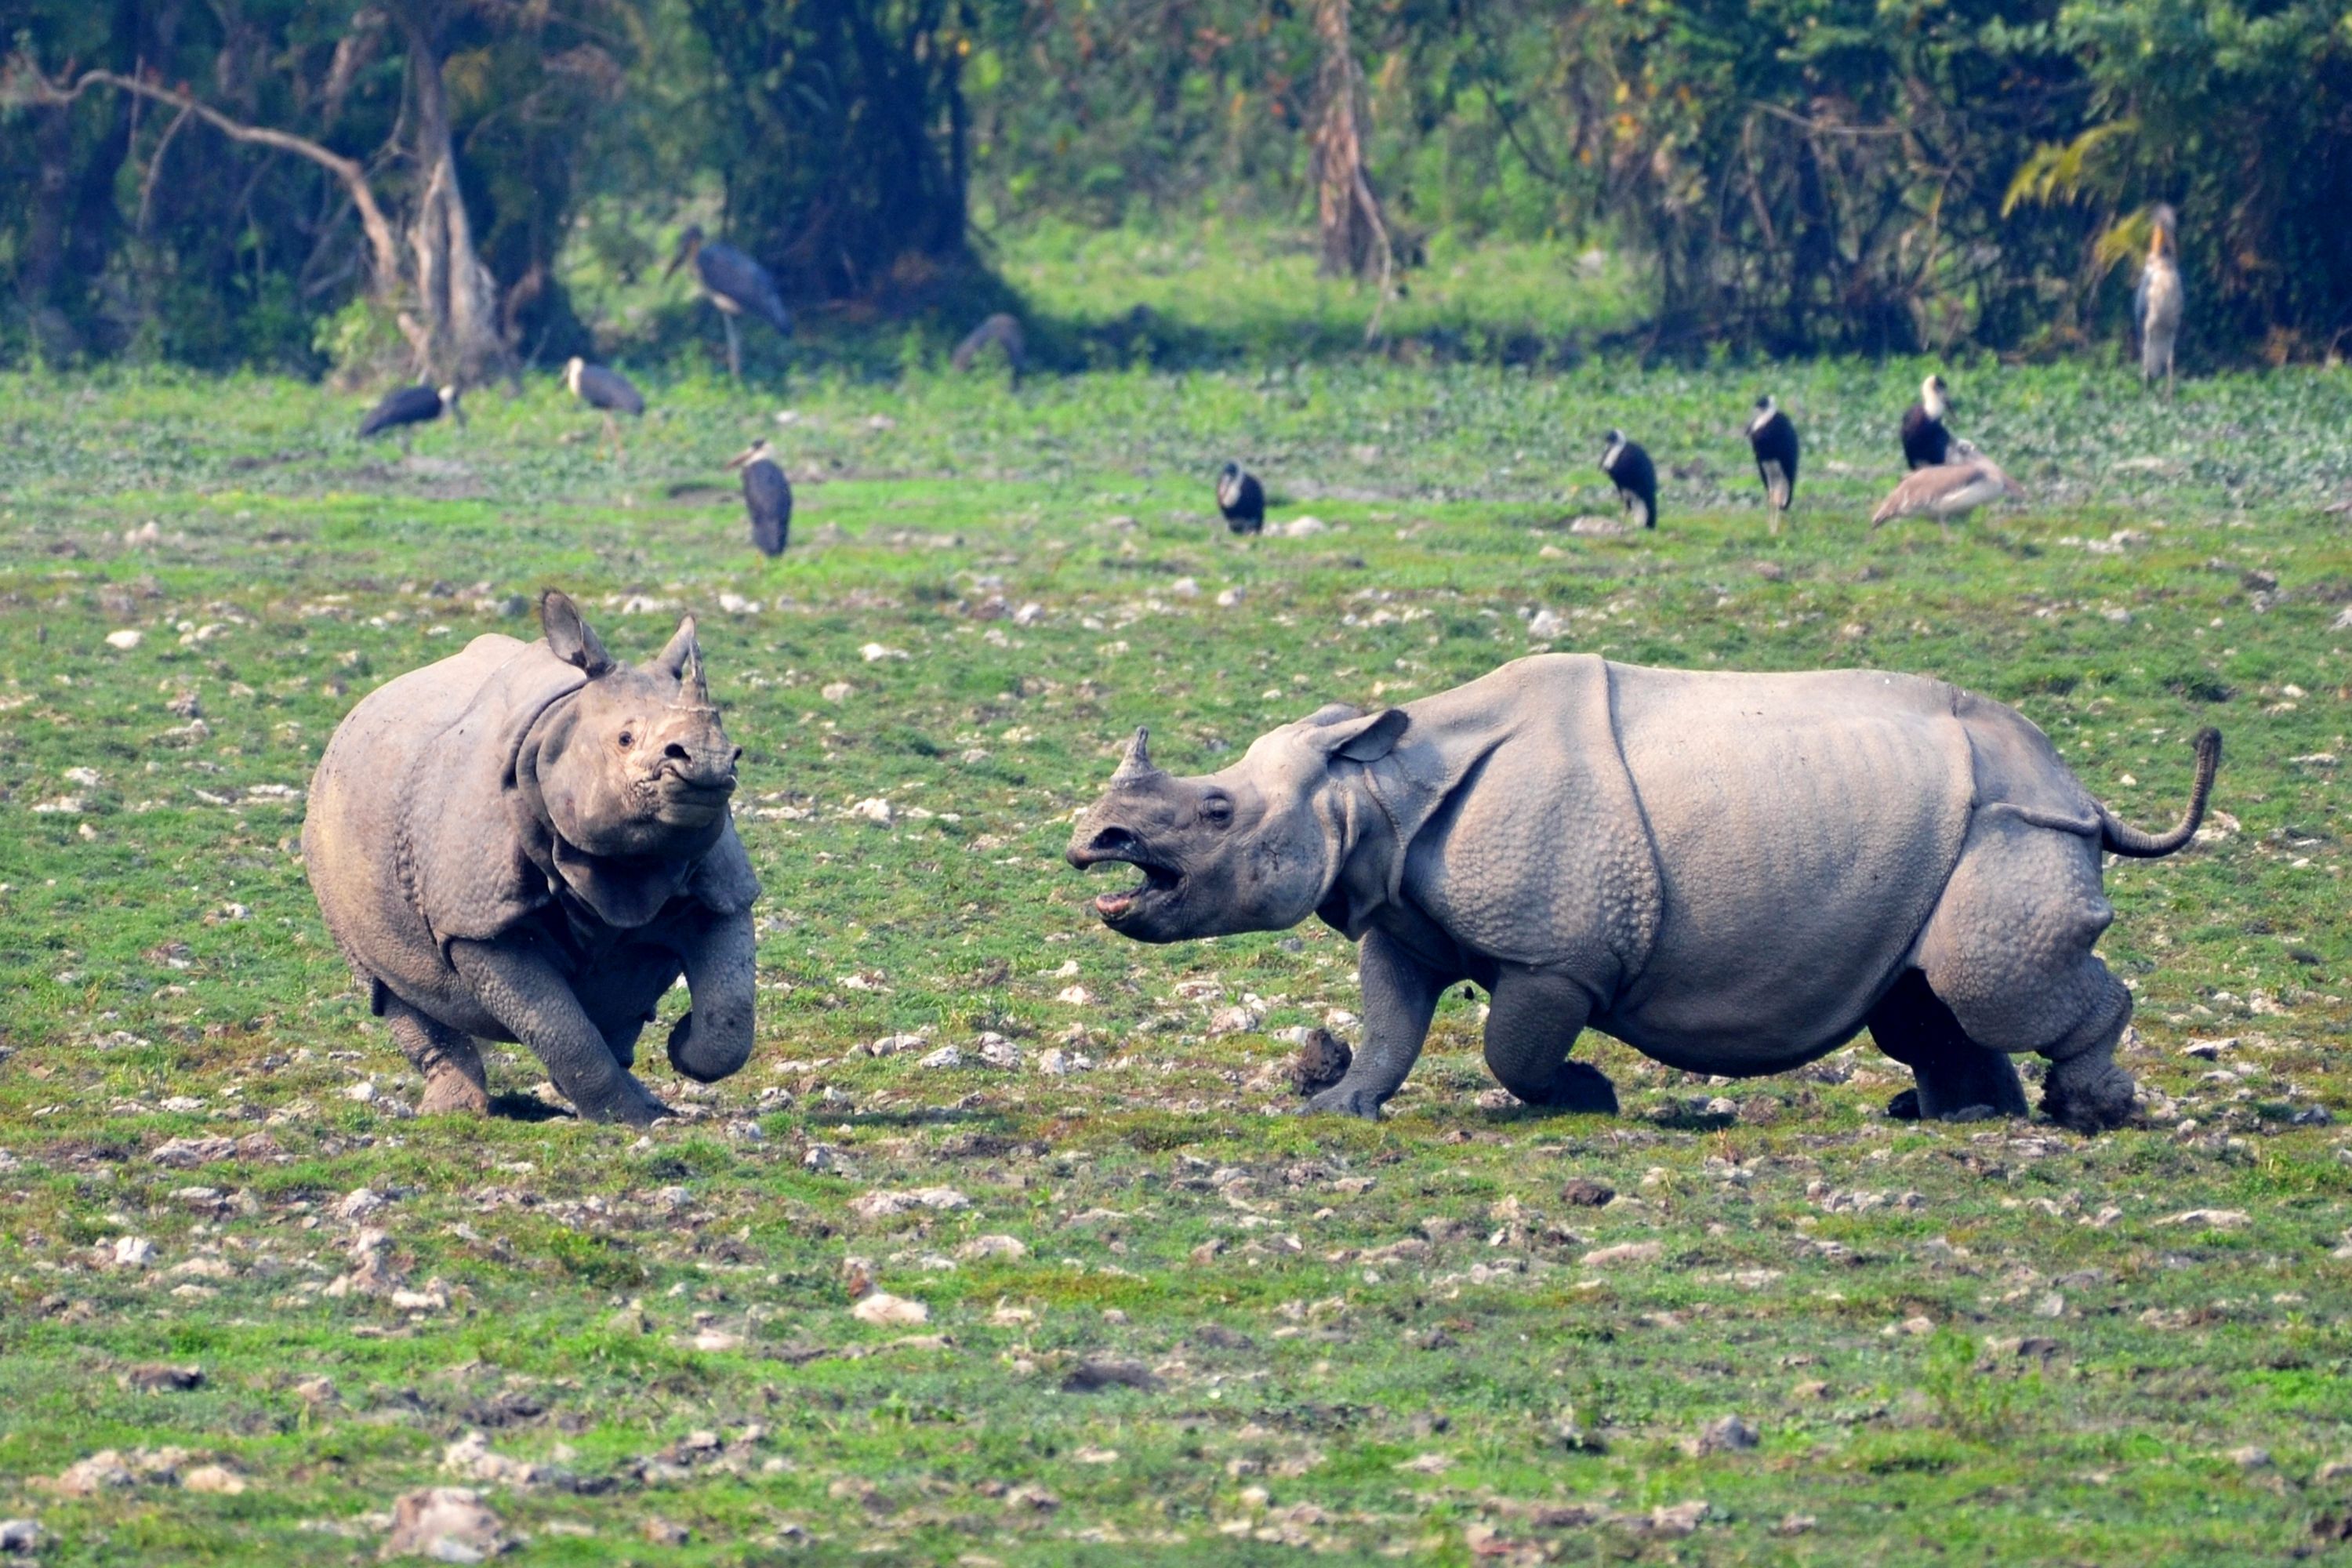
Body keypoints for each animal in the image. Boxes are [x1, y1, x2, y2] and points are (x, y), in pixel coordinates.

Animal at [304, 592, 759, 1125]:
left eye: (734, 749)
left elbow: (730, 1016)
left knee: (619, 997)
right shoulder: (478, 920)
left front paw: (681, 1049)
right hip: (328, 834)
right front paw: (629, 1122)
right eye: (624, 739)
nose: (708, 763)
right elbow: (561, 1030)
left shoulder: (723, 890)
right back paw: (457, 1111)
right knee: (387, 988)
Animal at [1067, 655, 2219, 1131]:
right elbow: (1392, 1021)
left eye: (1217, 809)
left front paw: (1585, 1097)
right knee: (1922, 995)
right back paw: (1960, 1119)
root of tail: (2081, 789)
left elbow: (1514, 1045)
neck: (1370, 786)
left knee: (1989, 982)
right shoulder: (1398, 913)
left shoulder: (1560, 949)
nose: (1092, 842)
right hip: (1955, 830)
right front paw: (1337, 1108)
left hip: (2016, 825)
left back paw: (2093, 1112)